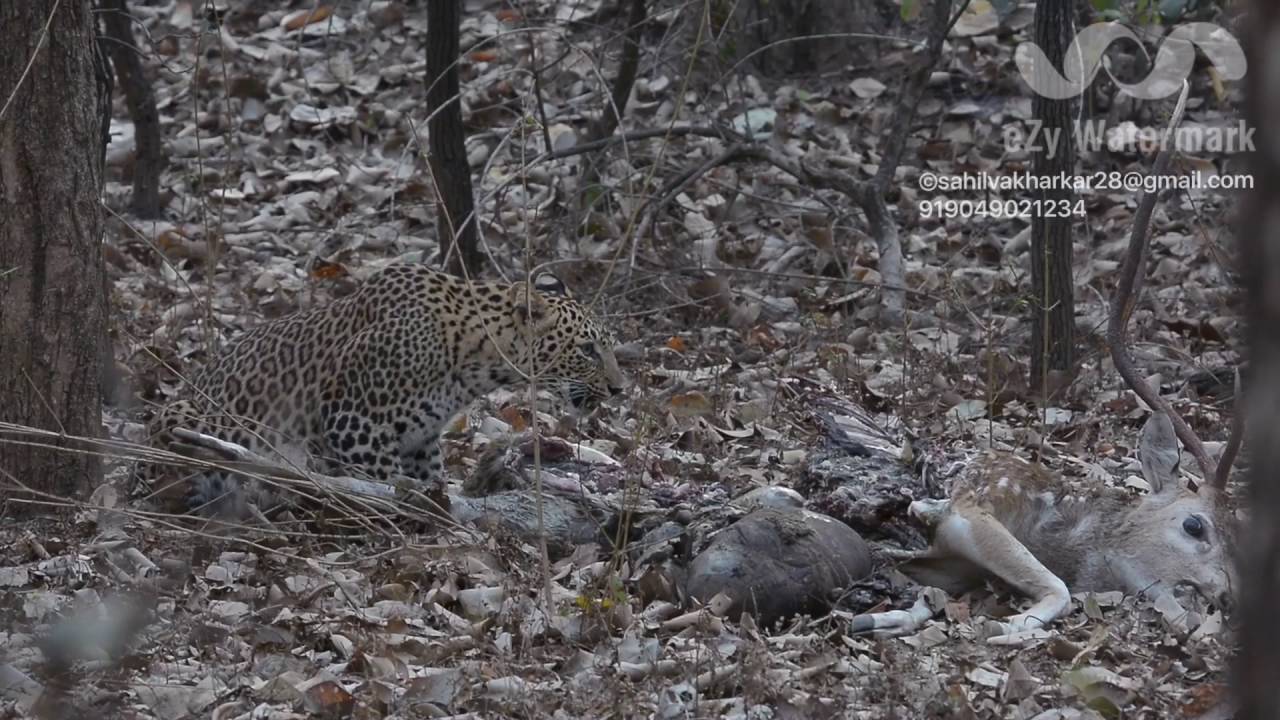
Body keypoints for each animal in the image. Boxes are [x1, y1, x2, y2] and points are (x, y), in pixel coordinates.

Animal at [148, 263, 625, 518]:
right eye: (587, 349)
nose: (619, 388)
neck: (473, 359)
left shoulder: (421, 440)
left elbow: (430, 482)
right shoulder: (354, 423)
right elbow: (382, 485)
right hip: (182, 422)